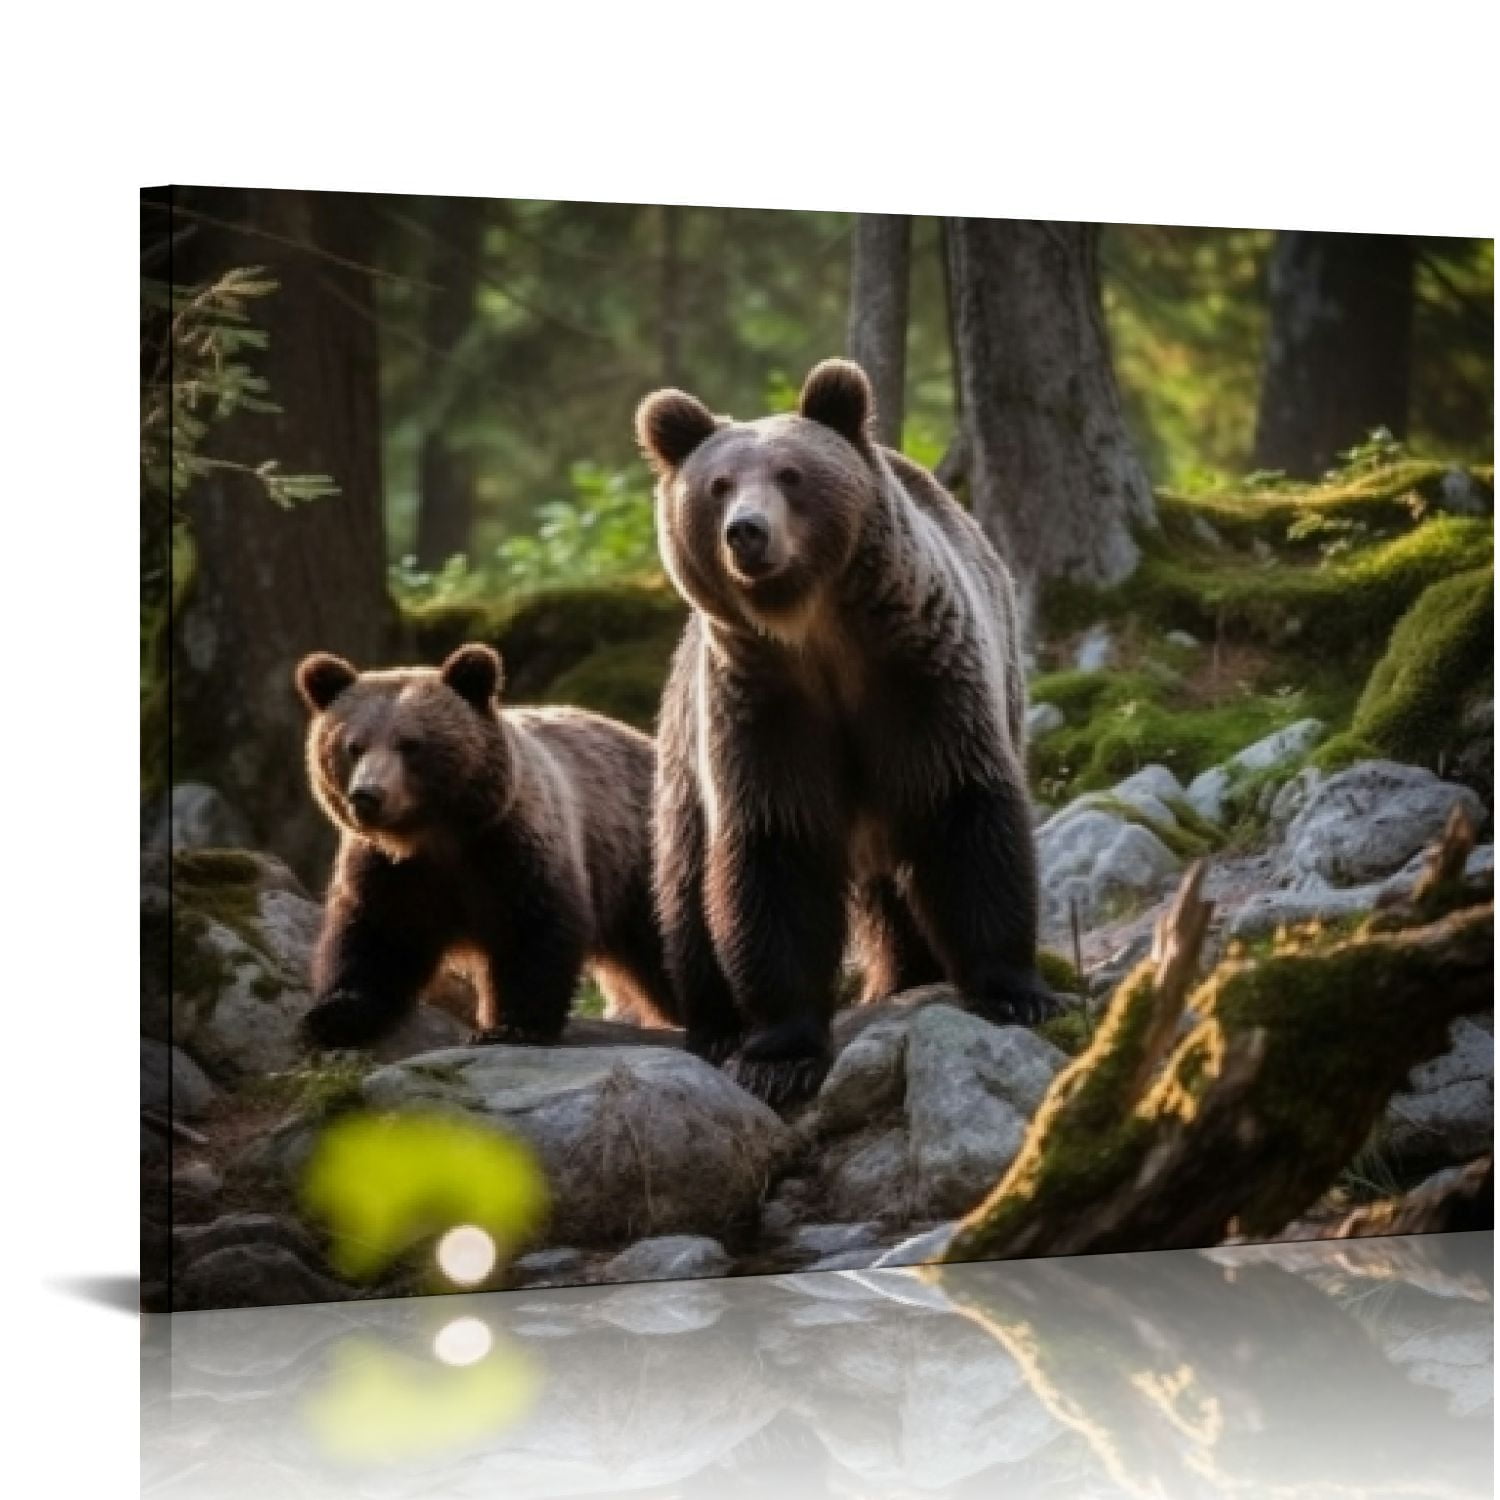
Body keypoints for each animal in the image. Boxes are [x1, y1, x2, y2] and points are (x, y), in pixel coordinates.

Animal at [293, 641, 677, 1049]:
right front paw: (335, 1015)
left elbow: (533, 930)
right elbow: (377, 933)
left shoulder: (514, 847)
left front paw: (512, 1026)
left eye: (410, 744)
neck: (434, 836)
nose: (367, 795)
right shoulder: (390, 869)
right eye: (353, 746)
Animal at [636, 358, 1055, 1102]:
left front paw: (1014, 991)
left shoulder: (921, 676)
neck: (817, 633)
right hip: (684, 758)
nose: (747, 531)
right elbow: (775, 850)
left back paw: (911, 973)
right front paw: (779, 1054)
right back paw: (715, 1027)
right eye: (717, 486)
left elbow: (966, 810)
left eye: (791, 475)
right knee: (685, 889)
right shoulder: (763, 706)